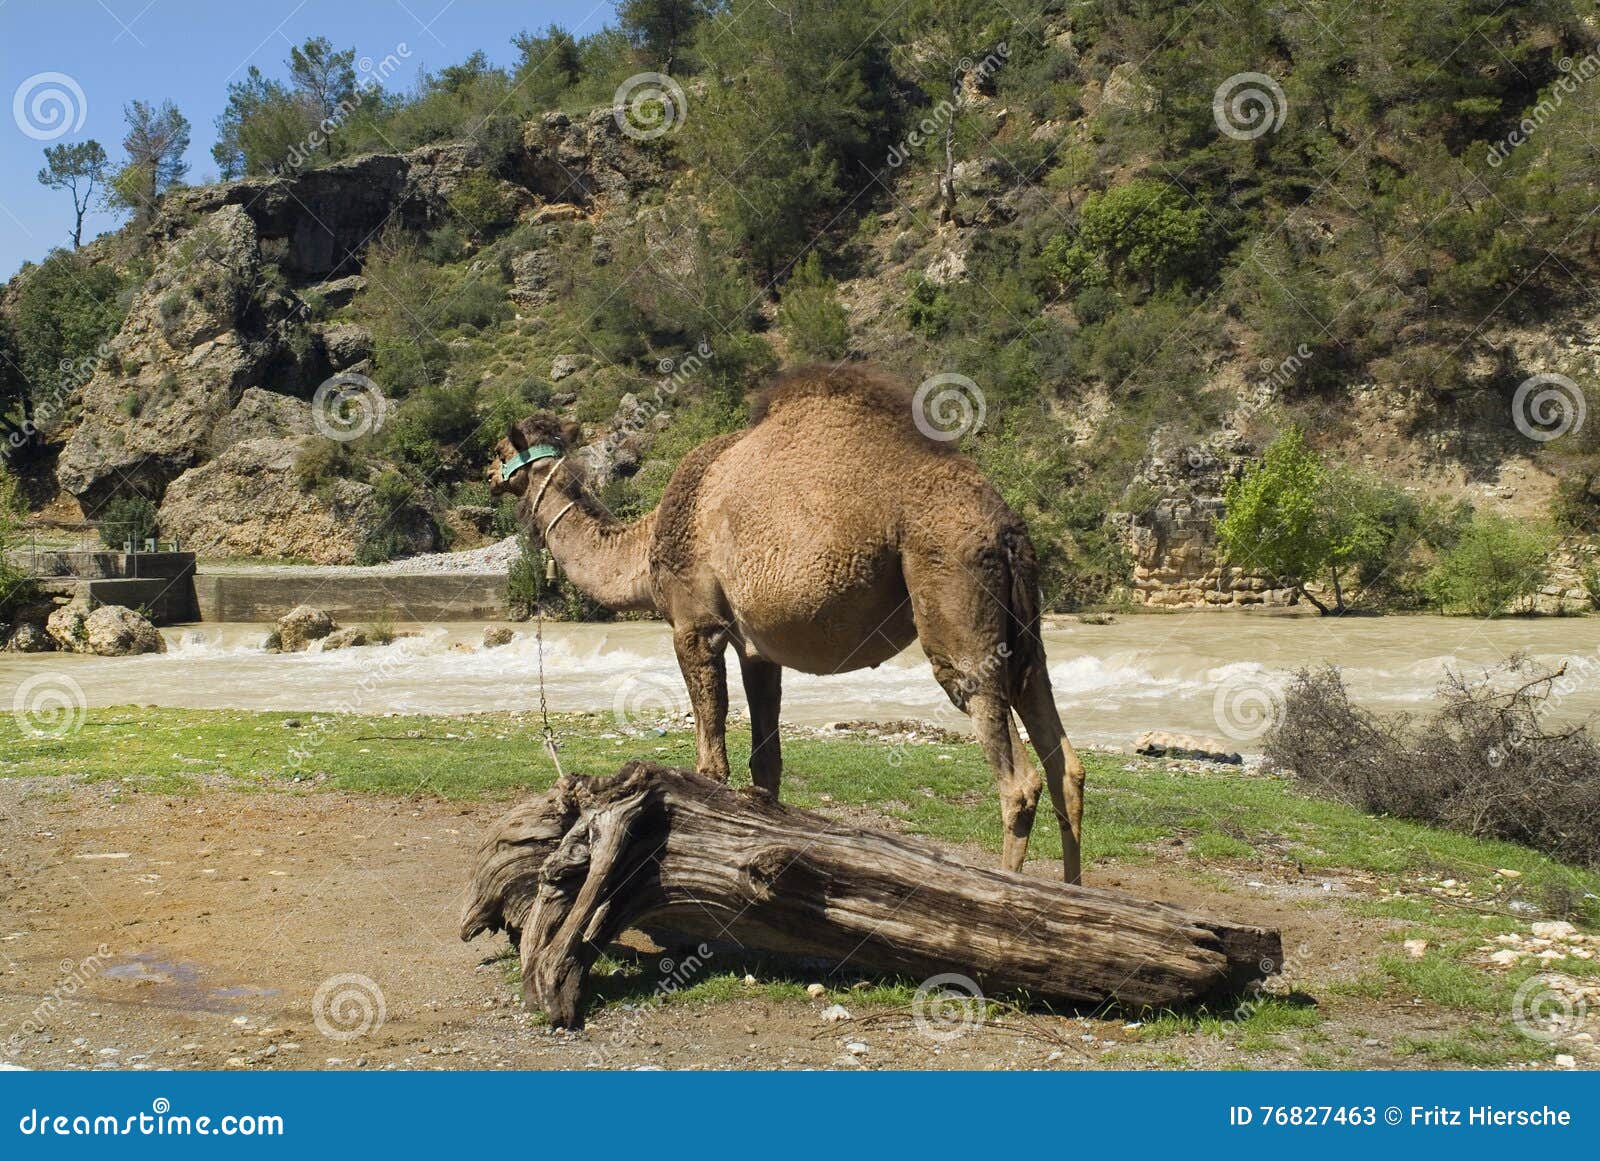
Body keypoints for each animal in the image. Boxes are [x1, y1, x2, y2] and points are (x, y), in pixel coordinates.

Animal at [487, 364, 1087, 882]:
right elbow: (766, 767)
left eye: (499, 450)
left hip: (950, 582)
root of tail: (1006, 524)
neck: (647, 545)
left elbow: (712, 762)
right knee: (1065, 762)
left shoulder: (695, 625)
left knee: (1016, 776)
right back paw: (1072, 892)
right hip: (1022, 630)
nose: (488, 475)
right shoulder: (756, 650)